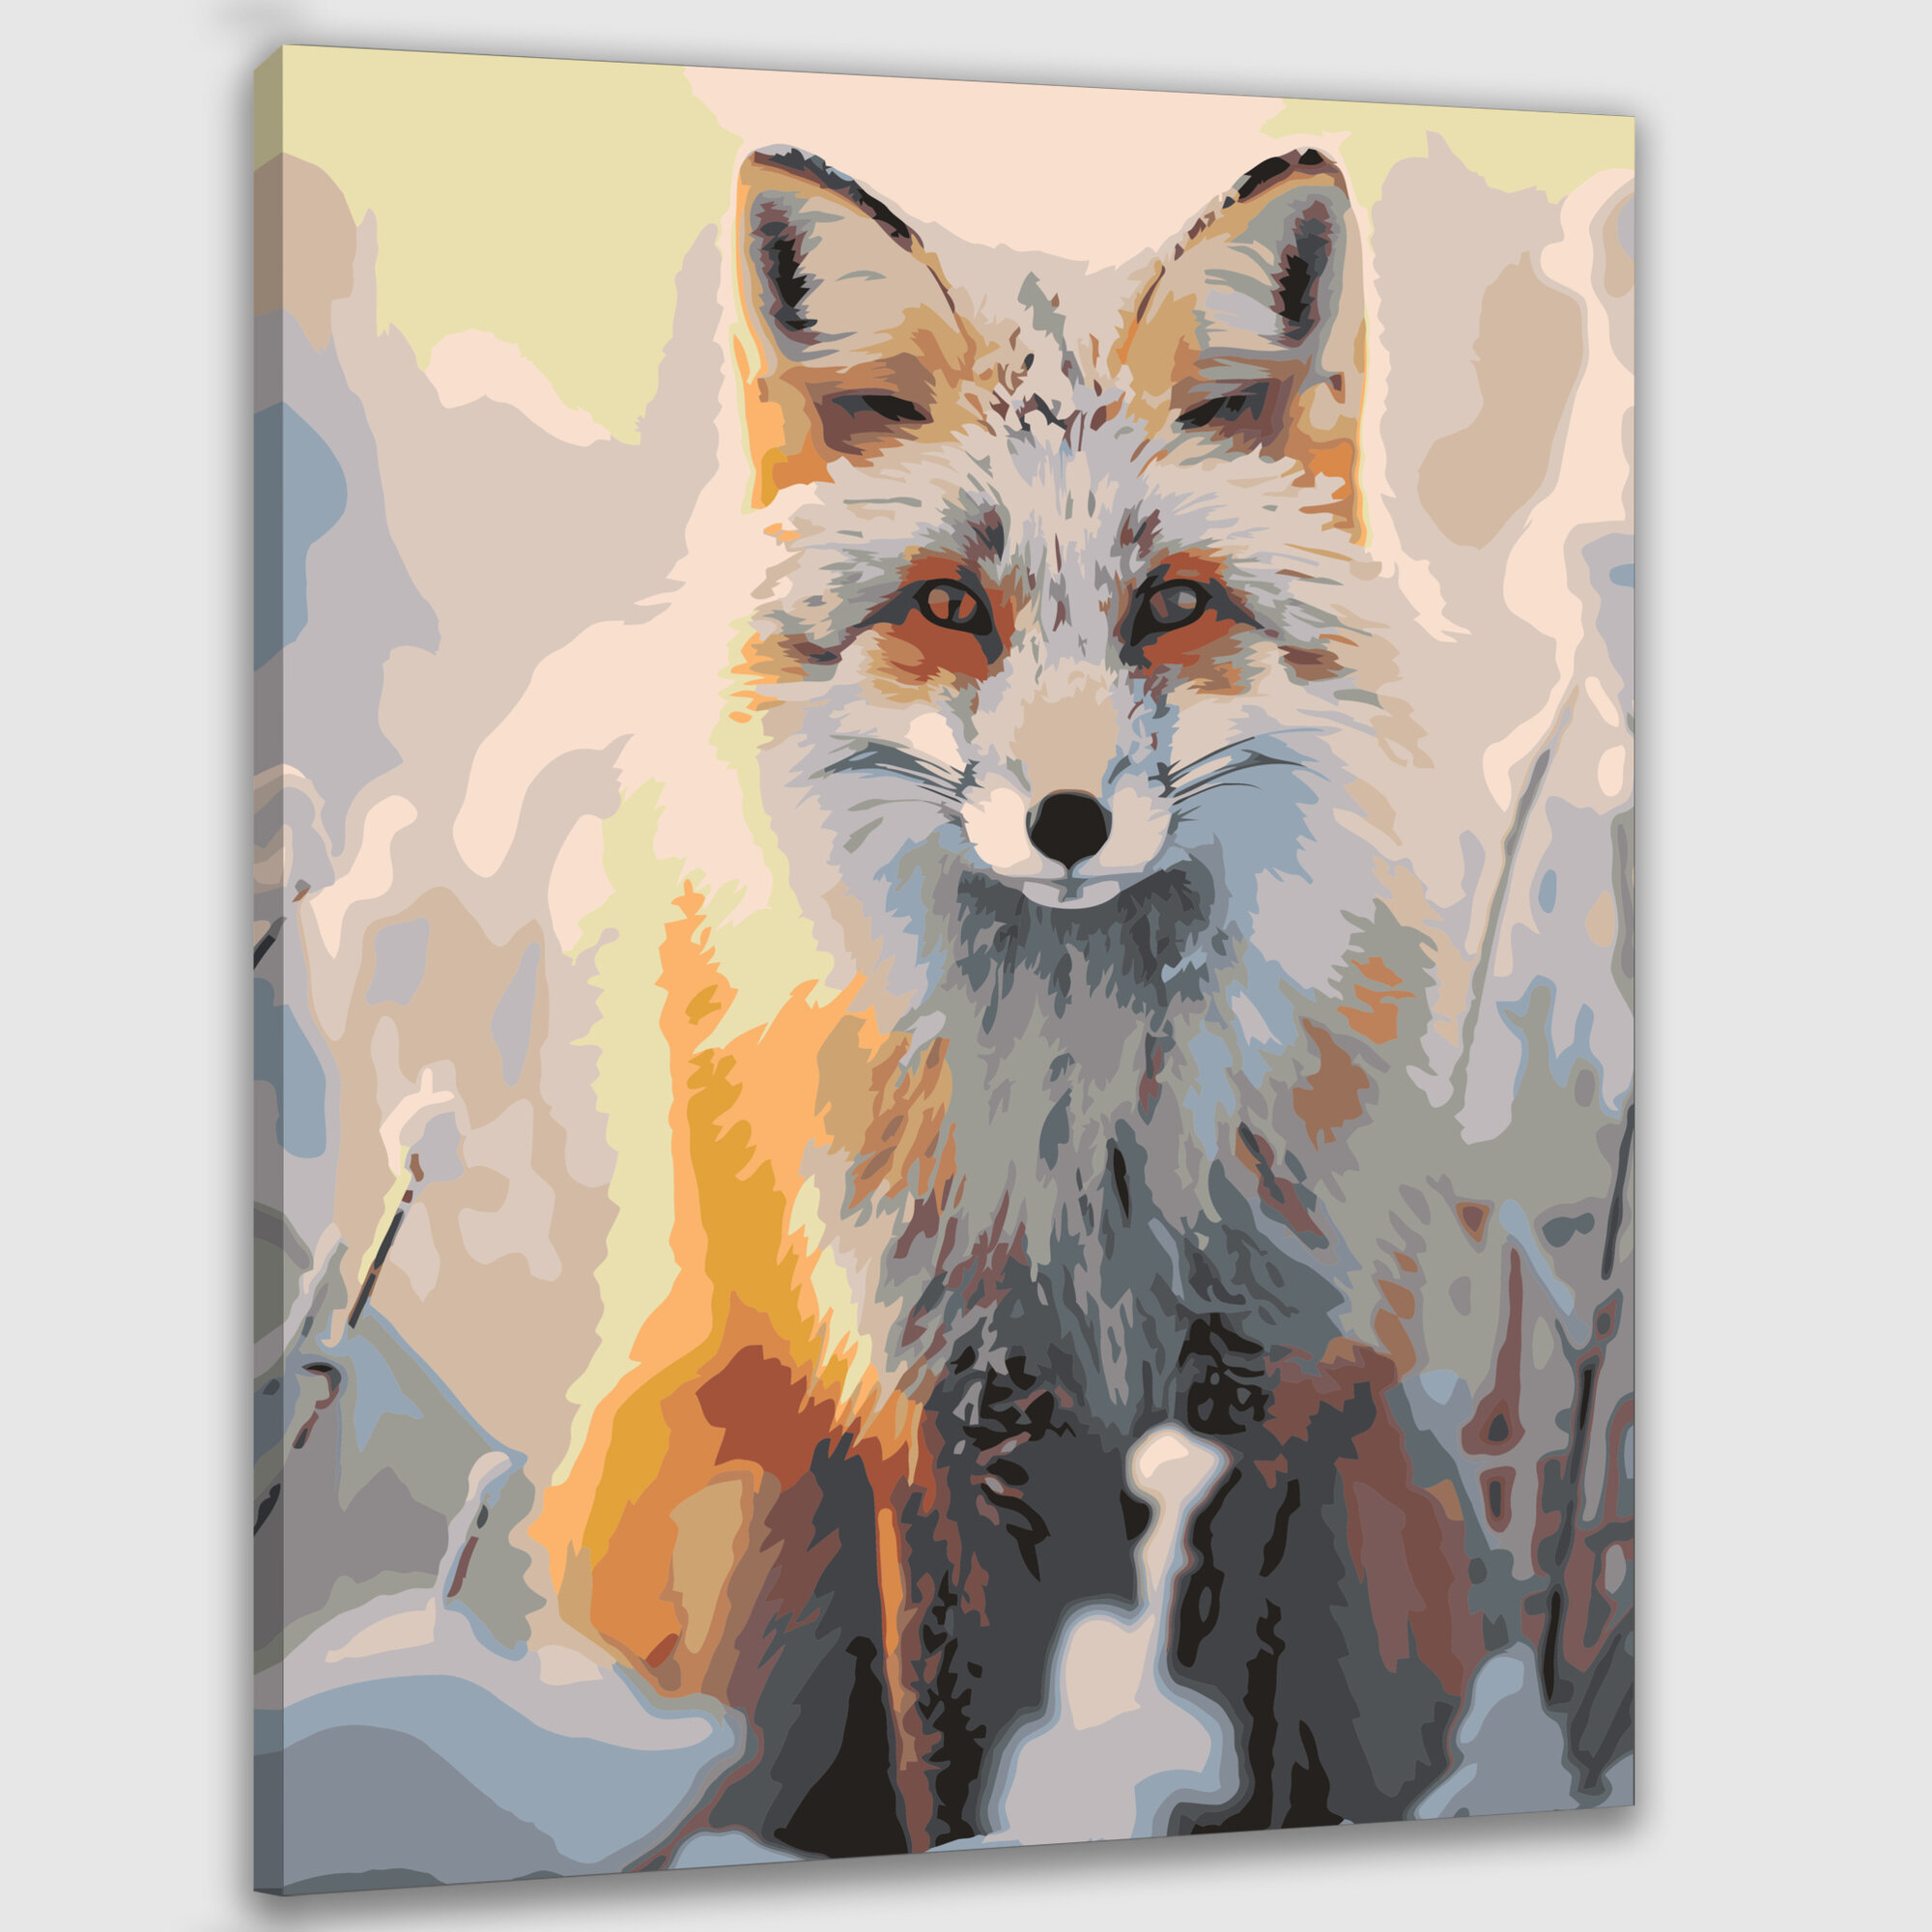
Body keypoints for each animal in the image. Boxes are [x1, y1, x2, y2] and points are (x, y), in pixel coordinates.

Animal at [537, 144, 1522, 1857]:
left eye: (1175, 605)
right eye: (949, 606)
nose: (1068, 822)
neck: (1093, 1133)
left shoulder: (1257, 1395)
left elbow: (1230, 1770)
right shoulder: (941, 1412)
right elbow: (960, 1776)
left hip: (1393, 1500)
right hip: (741, 1542)